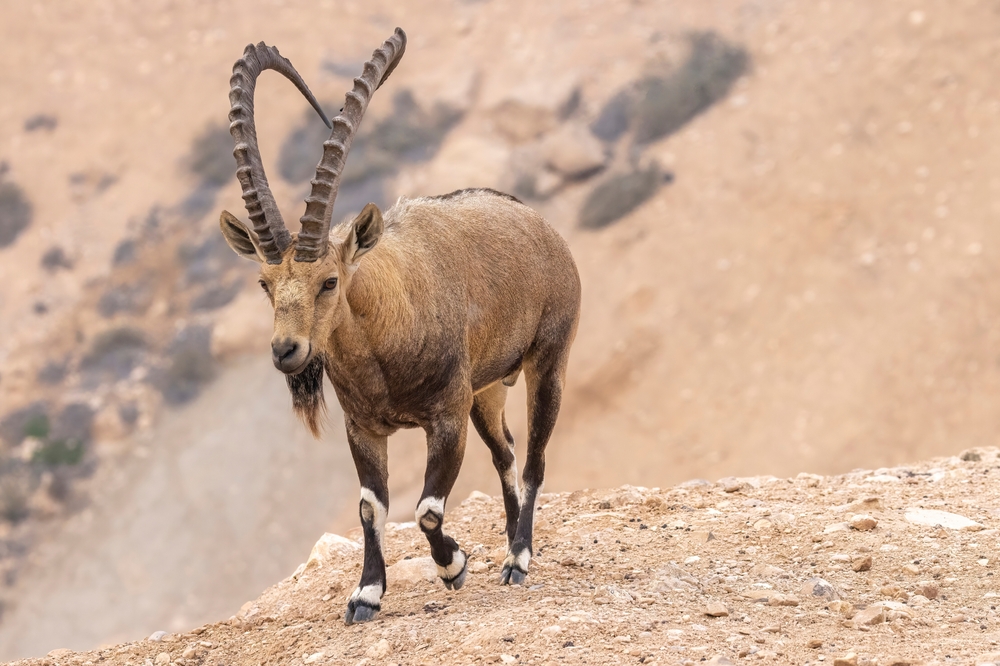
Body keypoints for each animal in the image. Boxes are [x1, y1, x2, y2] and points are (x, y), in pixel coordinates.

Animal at [218, 28, 580, 624]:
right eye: (264, 285)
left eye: (329, 281)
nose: (286, 351)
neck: (383, 349)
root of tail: (542, 226)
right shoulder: (364, 427)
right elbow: (371, 506)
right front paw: (366, 593)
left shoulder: (446, 415)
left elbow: (429, 508)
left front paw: (453, 566)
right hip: (485, 391)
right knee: (505, 452)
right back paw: (509, 540)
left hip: (548, 359)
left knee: (535, 459)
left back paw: (519, 557)